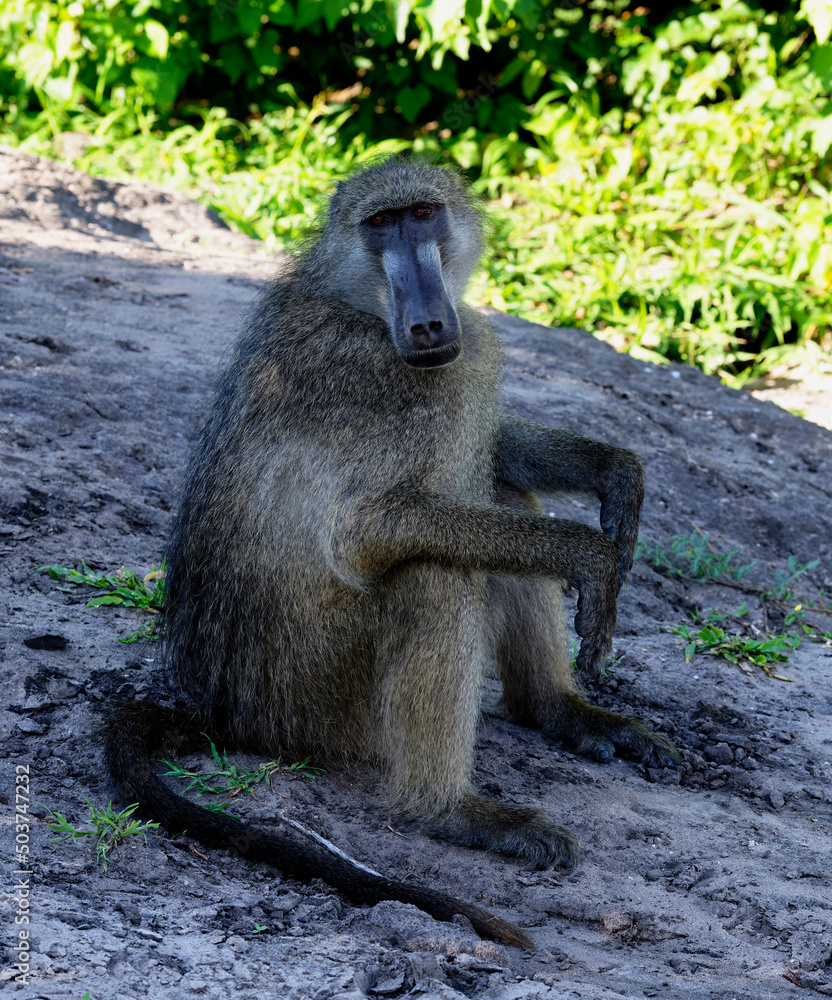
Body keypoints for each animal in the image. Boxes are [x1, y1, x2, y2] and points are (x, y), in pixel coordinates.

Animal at [104, 158, 680, 950]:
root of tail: (224, 710)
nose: (430, 320)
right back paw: (448, 811)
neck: (360, 302)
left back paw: (558, 711)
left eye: (422, 215)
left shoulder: (460, 354)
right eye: (380, 225)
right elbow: (363, 531)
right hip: (315, 700)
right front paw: (588, 555)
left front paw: (614, 472)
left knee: (497, 493)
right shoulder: (391, 378)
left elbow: (493, 456)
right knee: (435, 576)